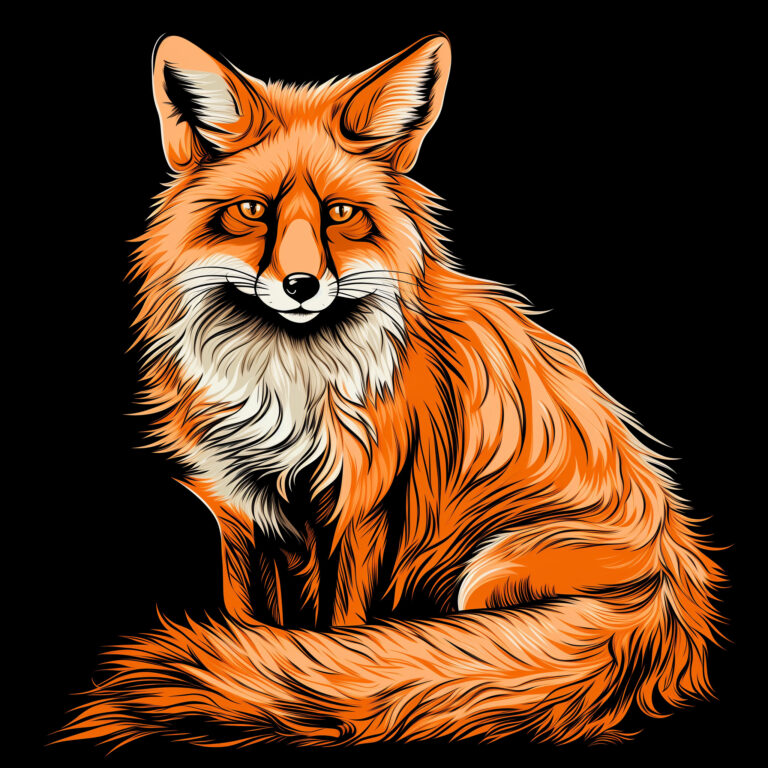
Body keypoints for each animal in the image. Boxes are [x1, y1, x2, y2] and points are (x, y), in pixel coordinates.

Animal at [60, 33, 725, 748]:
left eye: (341, 215)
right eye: (252, 212)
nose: (300, 286)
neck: (287, 386)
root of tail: (674, 600)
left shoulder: (364, 502)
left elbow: (337, 634)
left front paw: (303, 680)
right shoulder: (235, 505)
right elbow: (246, 620)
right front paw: (250, 662)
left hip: (493, 570)